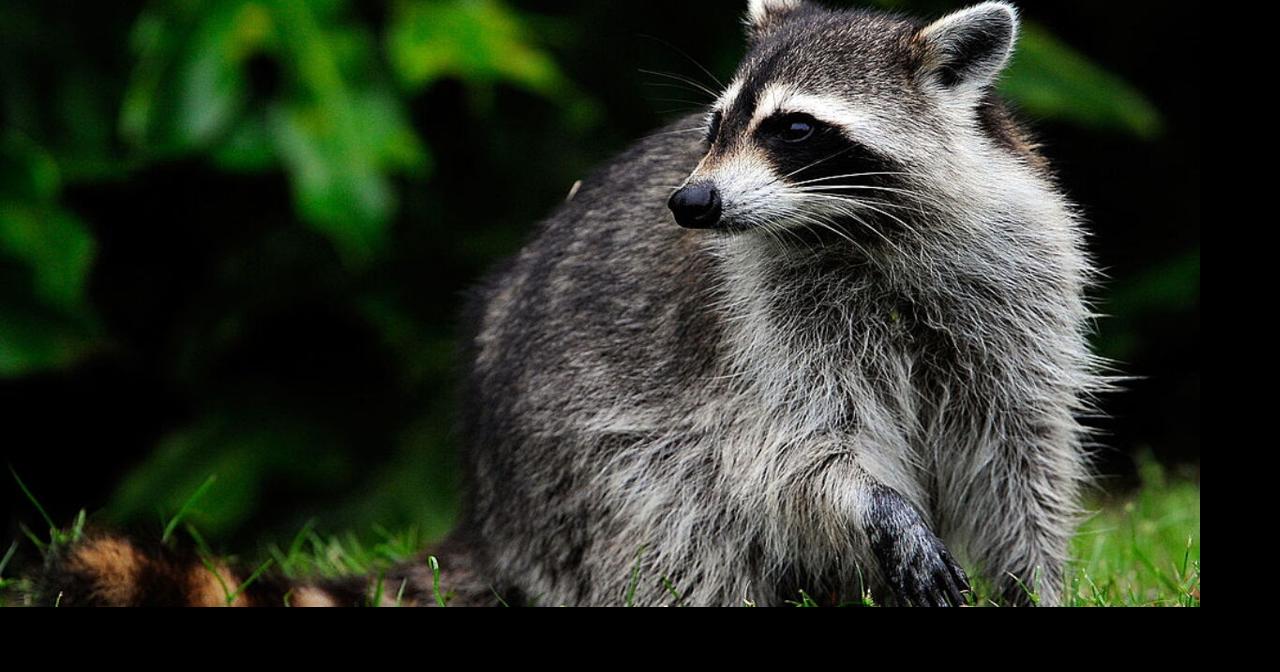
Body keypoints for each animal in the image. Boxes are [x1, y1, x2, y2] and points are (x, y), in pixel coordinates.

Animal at [39, 0, 1099, 607]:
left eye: (795, 129)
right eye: (716, 123)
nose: (691, 203)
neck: (858, 228)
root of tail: (487, 509)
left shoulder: (1019, 279)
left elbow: (1023, 449)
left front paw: (1031, 583)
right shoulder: (761, 326)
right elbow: (792, 452)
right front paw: (879, 509)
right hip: (578, 470)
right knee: (679, 527)